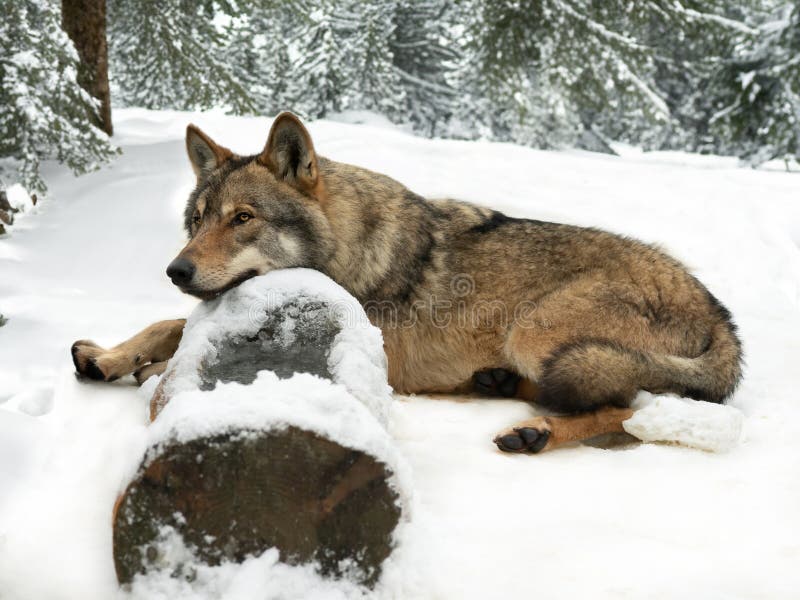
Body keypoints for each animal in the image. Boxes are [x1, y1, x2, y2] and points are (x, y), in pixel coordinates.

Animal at [72, 112, 742, 453]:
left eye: (243, 218)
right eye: (197, 221)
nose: (176, 270)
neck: (349, 249)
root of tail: (719, 314)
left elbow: (176, 334)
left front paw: (140, 367)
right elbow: (168, 323)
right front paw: (108, 358)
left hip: (537, 331)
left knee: (627, 408)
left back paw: (535, 431)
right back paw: (496, 386)